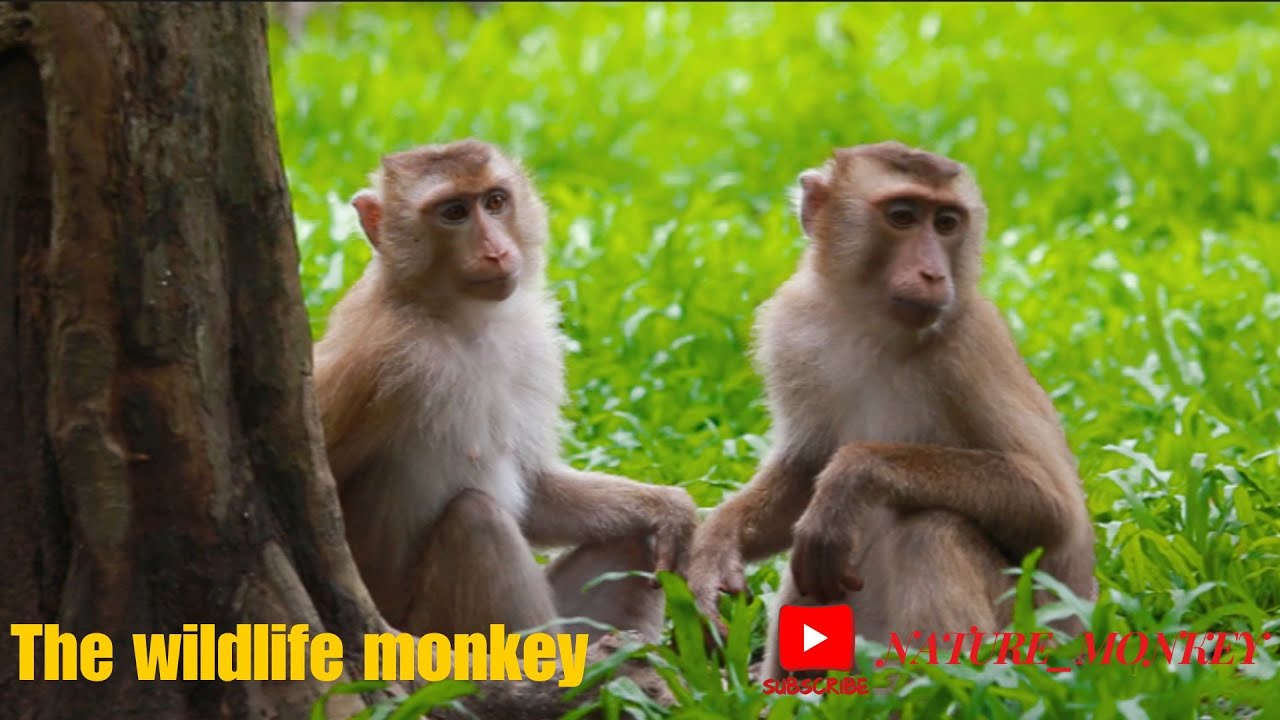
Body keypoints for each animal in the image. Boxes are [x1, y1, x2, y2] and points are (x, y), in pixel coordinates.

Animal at [312, 139, 698, 643]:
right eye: (454, 212)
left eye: (495, 201)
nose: (496, 251)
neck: (458, 320)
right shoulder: (384, 357)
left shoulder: (532, 343)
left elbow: (536, 493)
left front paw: (669, 506)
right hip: (433, 629)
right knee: (477, 518)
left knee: (634, 539)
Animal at [685, 141, 1097, 678]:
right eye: (902, 217)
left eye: (946, 223)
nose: (933, 273)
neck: (872, 329)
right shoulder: (791, 327)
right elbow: (802, 474)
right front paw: (713, 548)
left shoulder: (970, 348)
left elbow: (1052, 506)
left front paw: (854, 475)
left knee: (932, 528)